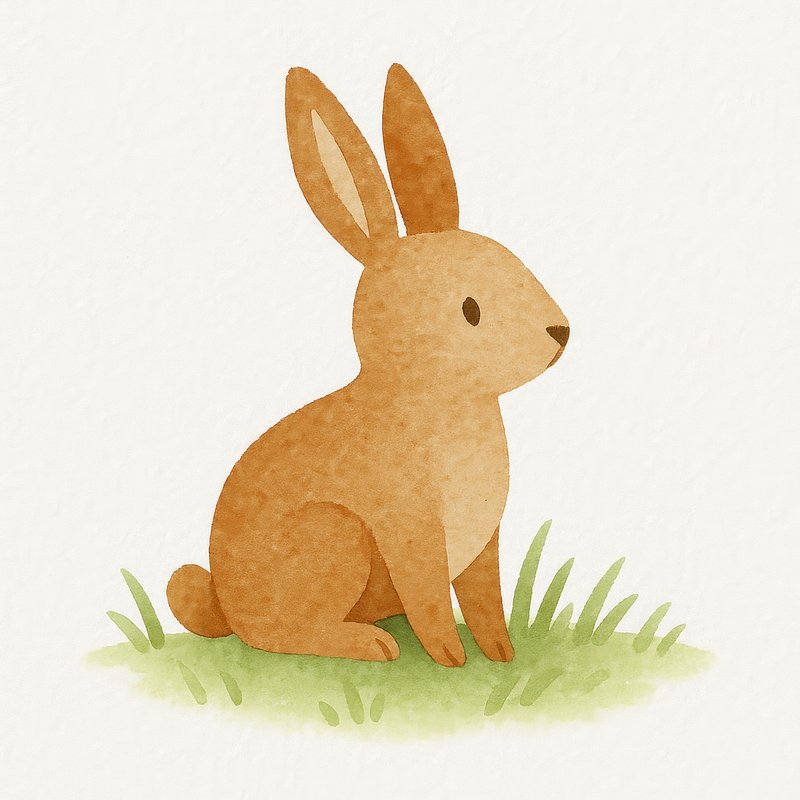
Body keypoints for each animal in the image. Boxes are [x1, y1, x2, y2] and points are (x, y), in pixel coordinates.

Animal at [166, 64, 570, 667]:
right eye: (470, 309)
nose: (560, 333)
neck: (430, 398)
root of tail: (225, 608)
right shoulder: (411, 532)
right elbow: (431, 600)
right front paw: (451, 660)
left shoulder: (484, 548)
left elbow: (485, 603)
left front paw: (502, 656)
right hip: (336, 539)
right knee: (280, 635)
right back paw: (371, 644)